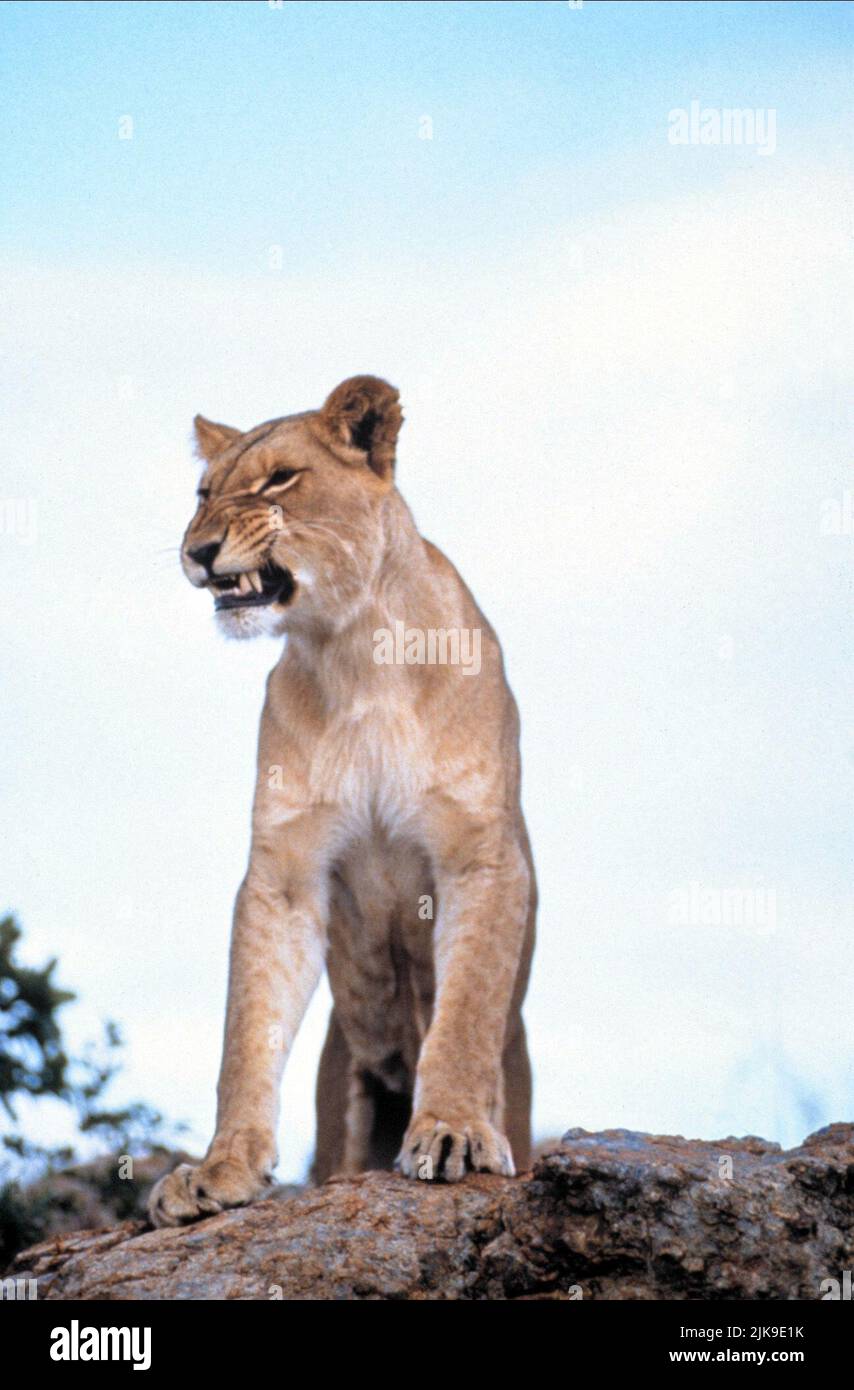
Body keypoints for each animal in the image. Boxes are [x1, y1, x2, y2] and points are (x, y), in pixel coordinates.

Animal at [148, 375, 536, 1226]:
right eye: (203, 492)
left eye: (278, 480)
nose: (196, 551)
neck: (356, 655)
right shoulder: (284, 874)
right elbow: (246, 1033)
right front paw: (219, 1170)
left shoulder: (479, 858)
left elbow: (463, 1013)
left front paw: (456, 1132)